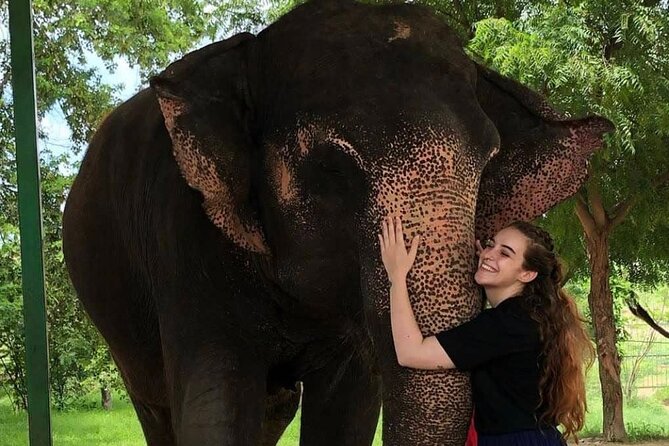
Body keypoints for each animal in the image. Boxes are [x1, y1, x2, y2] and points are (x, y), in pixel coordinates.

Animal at [62, 0, 613, 445]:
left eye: (489, 161)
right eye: (331, 168)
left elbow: (350, 407)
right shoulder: (183, 239)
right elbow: (216, 405)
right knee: (159, 408)